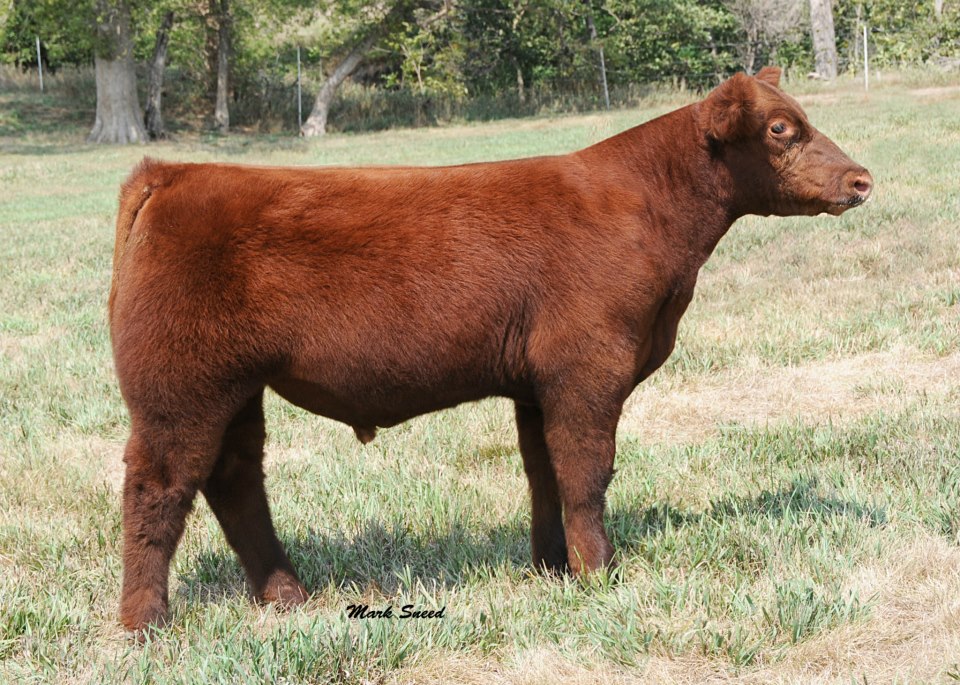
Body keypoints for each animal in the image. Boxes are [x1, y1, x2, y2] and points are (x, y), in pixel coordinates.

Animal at [109, 67, 872, 634]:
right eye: (780, 128)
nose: (861, 178)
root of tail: (172, 173)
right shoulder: (588, 367)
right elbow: (587, 472)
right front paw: (601, 575)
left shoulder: (537, 383)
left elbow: (544, 473)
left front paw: (552, 567)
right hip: (180, 386)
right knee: (158, 489)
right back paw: (146, 623)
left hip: (237, 387)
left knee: (234, 480)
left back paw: (287, 596)